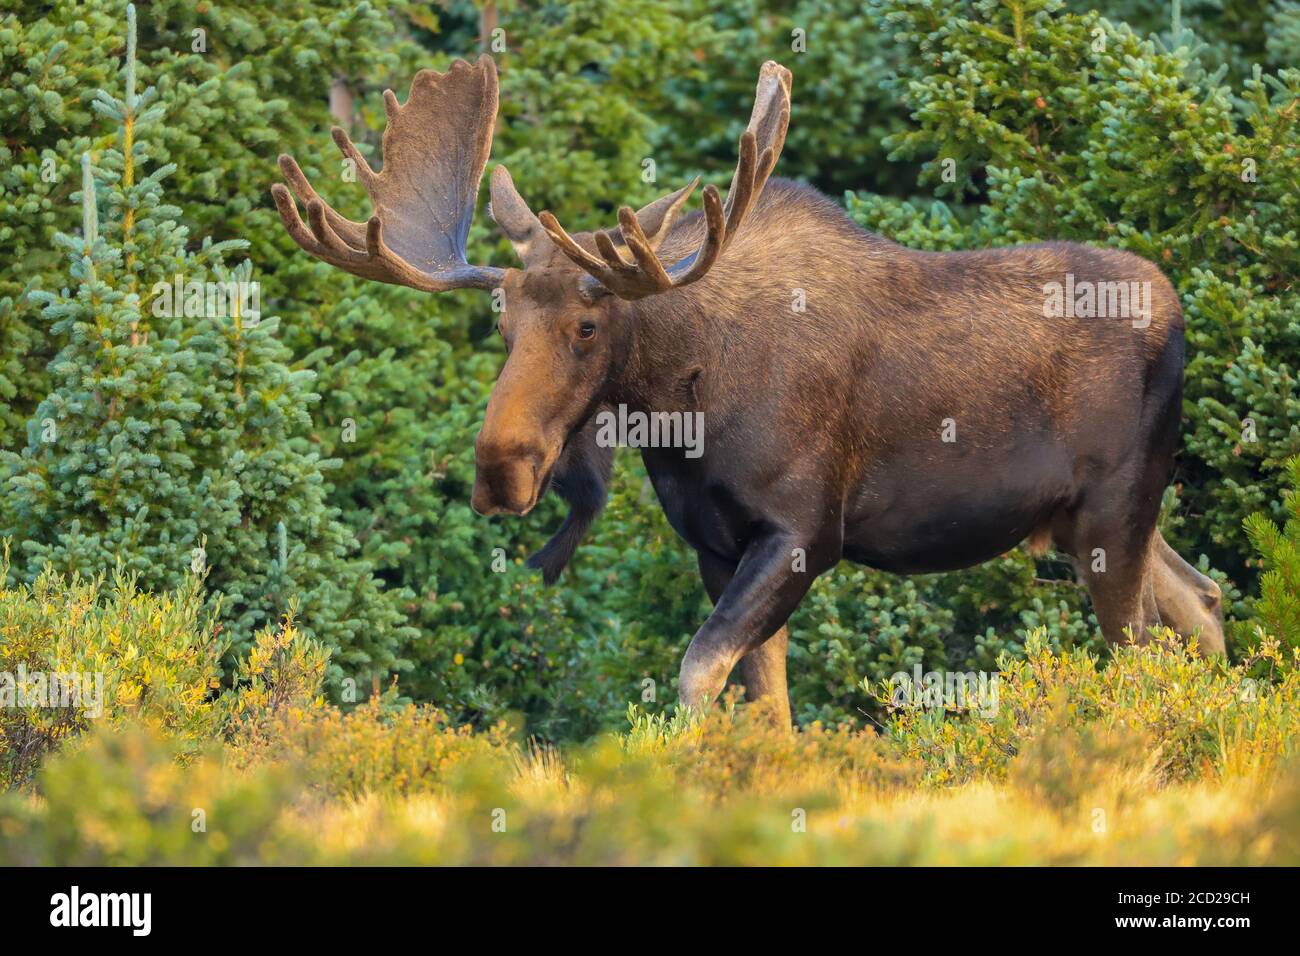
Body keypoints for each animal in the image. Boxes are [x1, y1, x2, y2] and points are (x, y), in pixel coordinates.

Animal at [272, 56, 1226, 726]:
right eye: (502, 328)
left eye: (588, 327)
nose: (500, 470)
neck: (682, 416)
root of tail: (1179, 308)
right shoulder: (715, 545)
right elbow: (766, 705)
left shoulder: (804, 534)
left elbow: (700, 673)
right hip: (1091, 522)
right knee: (1201, 601)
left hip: (1113, 513)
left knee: (1143, 649)